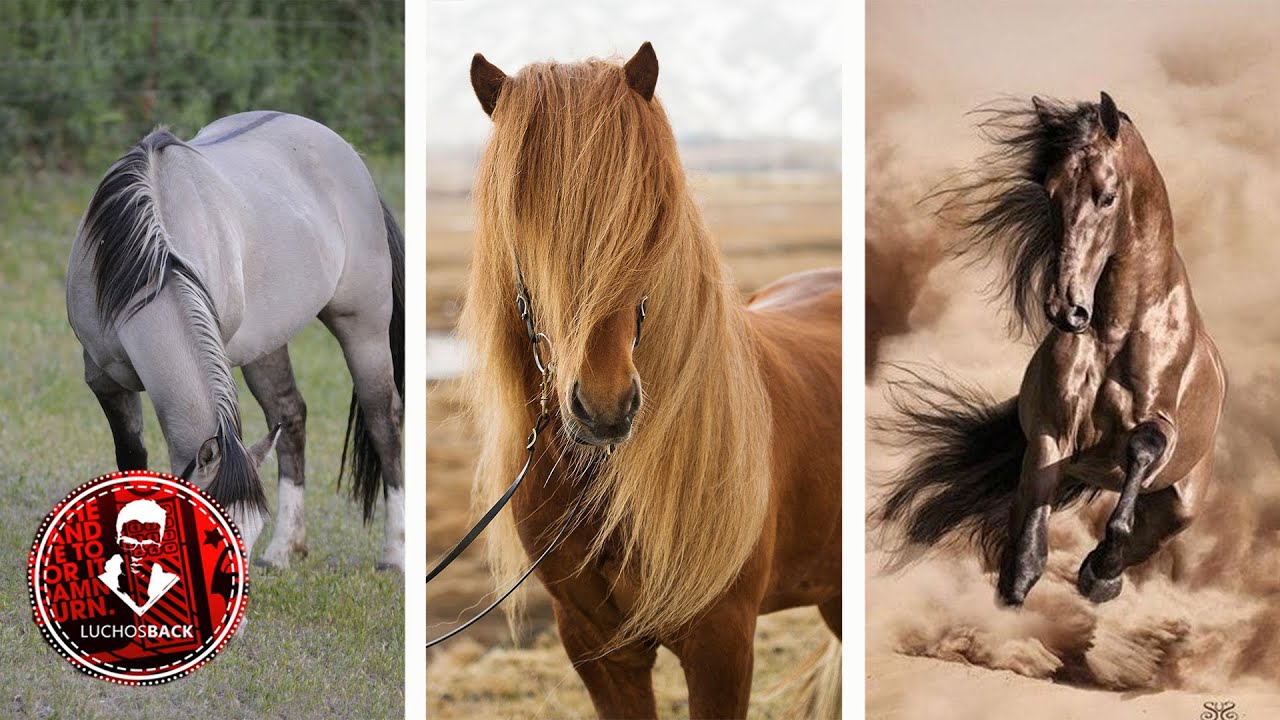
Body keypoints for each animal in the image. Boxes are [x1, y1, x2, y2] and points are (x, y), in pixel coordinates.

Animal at [66, 111, 405, 571]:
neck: (151, 263)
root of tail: (350, 157)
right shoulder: (104, 380)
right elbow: (130, 463)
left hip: (362, 326)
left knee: (383, 420)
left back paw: (394, 554)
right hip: (267, 342)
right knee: (290, 415)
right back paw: (283, 549)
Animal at [877, 93, 1226, 607]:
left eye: (1107, 196)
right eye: (1051, 192)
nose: (1067, 308)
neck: (1120, 326)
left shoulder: (1160, 423)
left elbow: (1141, 450)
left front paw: (1100, 572)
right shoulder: (1052, 430)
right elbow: (1028, 545)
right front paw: (1017, 584)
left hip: (1178, 505)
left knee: (1147, 530)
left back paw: (1104, 574)